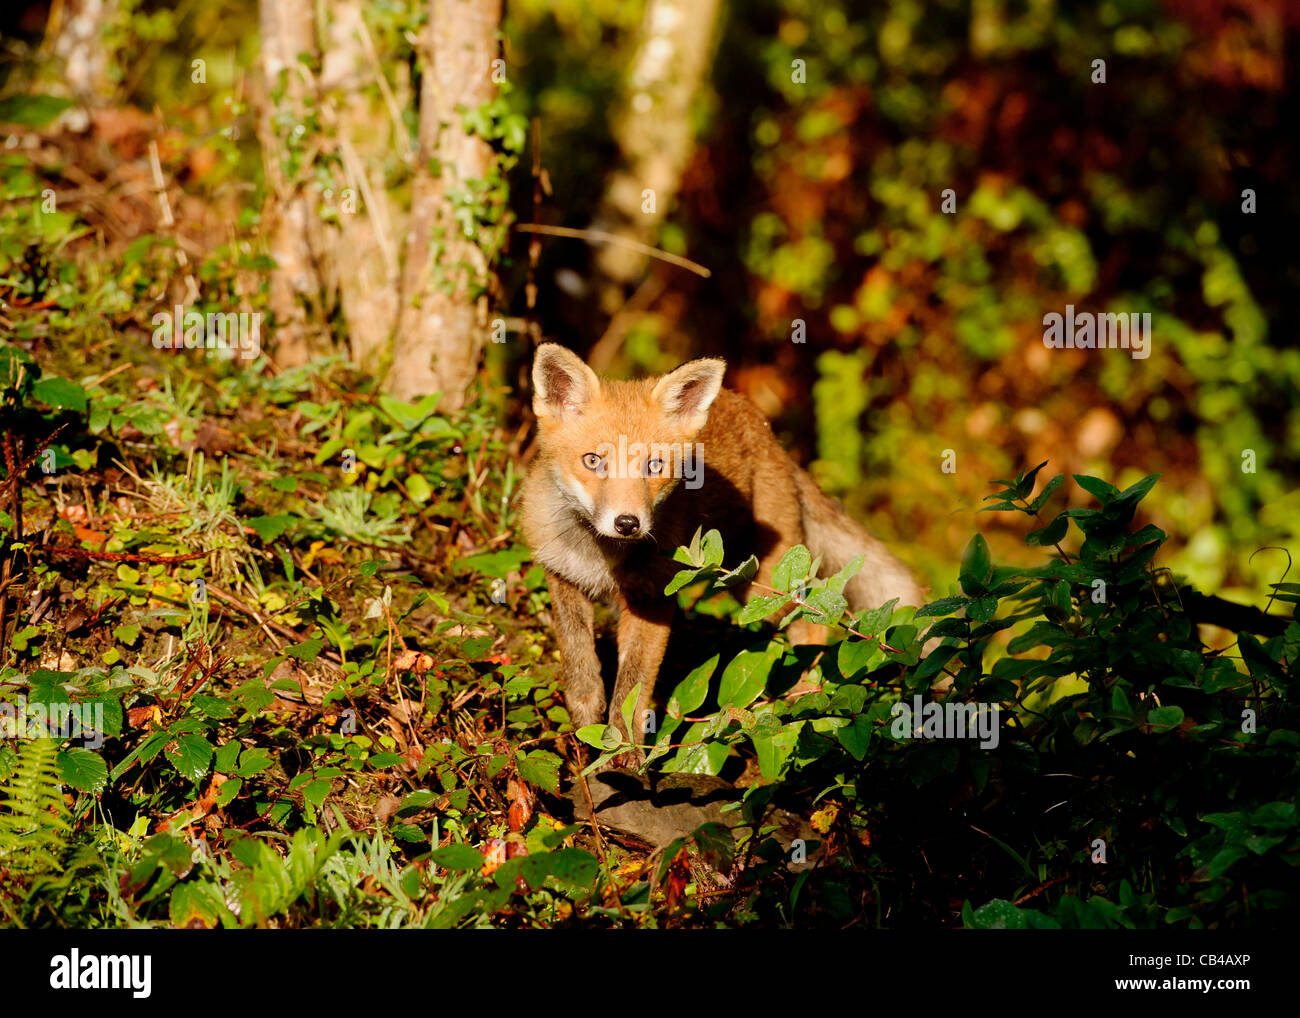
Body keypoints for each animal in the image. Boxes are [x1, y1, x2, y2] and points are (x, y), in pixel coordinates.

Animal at [520, 343, 925, 759]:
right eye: (592, 461)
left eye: (655, 465)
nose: (628, 523)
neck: (601, 556)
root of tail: (770, 435)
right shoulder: (562, 575)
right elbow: (576, 655)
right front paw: (585, 716)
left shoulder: (653, 597)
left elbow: (633, 685)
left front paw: (624, 750)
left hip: (762, 587)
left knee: (810, 625)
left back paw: (804, 702)